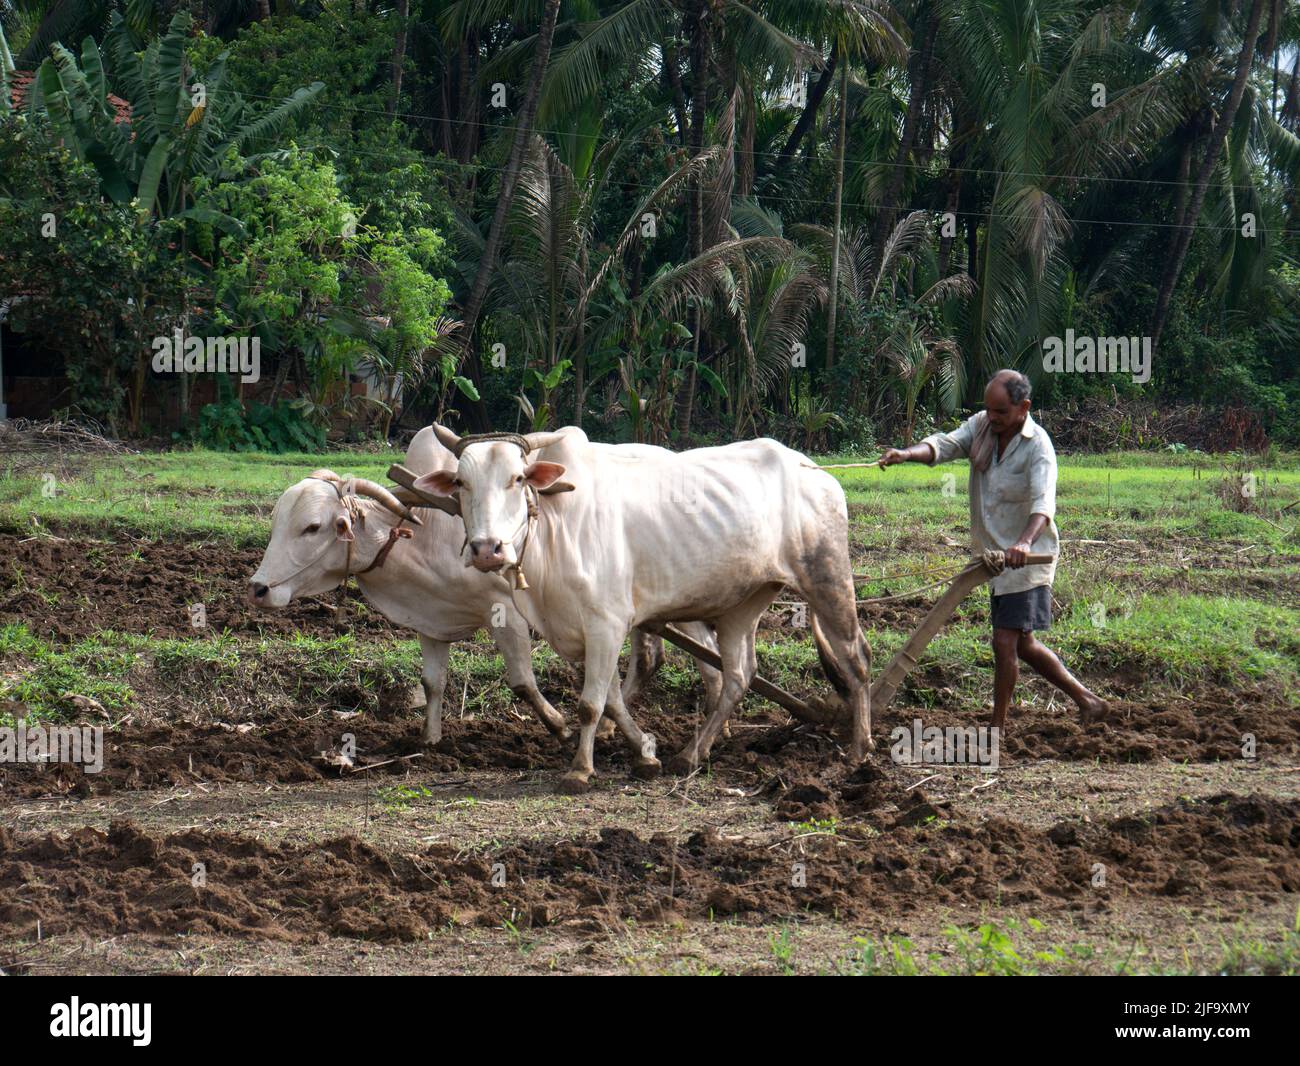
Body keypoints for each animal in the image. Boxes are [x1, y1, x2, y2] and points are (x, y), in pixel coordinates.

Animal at [247, 428, 721, 746]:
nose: (258, 589)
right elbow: (432, 682)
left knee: (703, 655)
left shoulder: (505, 611)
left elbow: (523, 682)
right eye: (277, 521)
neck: (429, 530)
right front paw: (430, 738)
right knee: (653, 658)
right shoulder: (431, 622)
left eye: (312, 527)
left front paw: (560, 726)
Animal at [413, 424, 873, 793]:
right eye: (461, 482)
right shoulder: (596, 631)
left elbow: (591, 703)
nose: (487, 549)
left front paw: (580, 770)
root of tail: (813, 471)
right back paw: (691, 753)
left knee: (856, 659)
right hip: (744, 603)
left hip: (828, 579)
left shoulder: (606, 622)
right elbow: (613, 700)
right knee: (739, 675)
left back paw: (859, 750)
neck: (553, 527)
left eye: (518, 478)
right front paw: (646, 753)